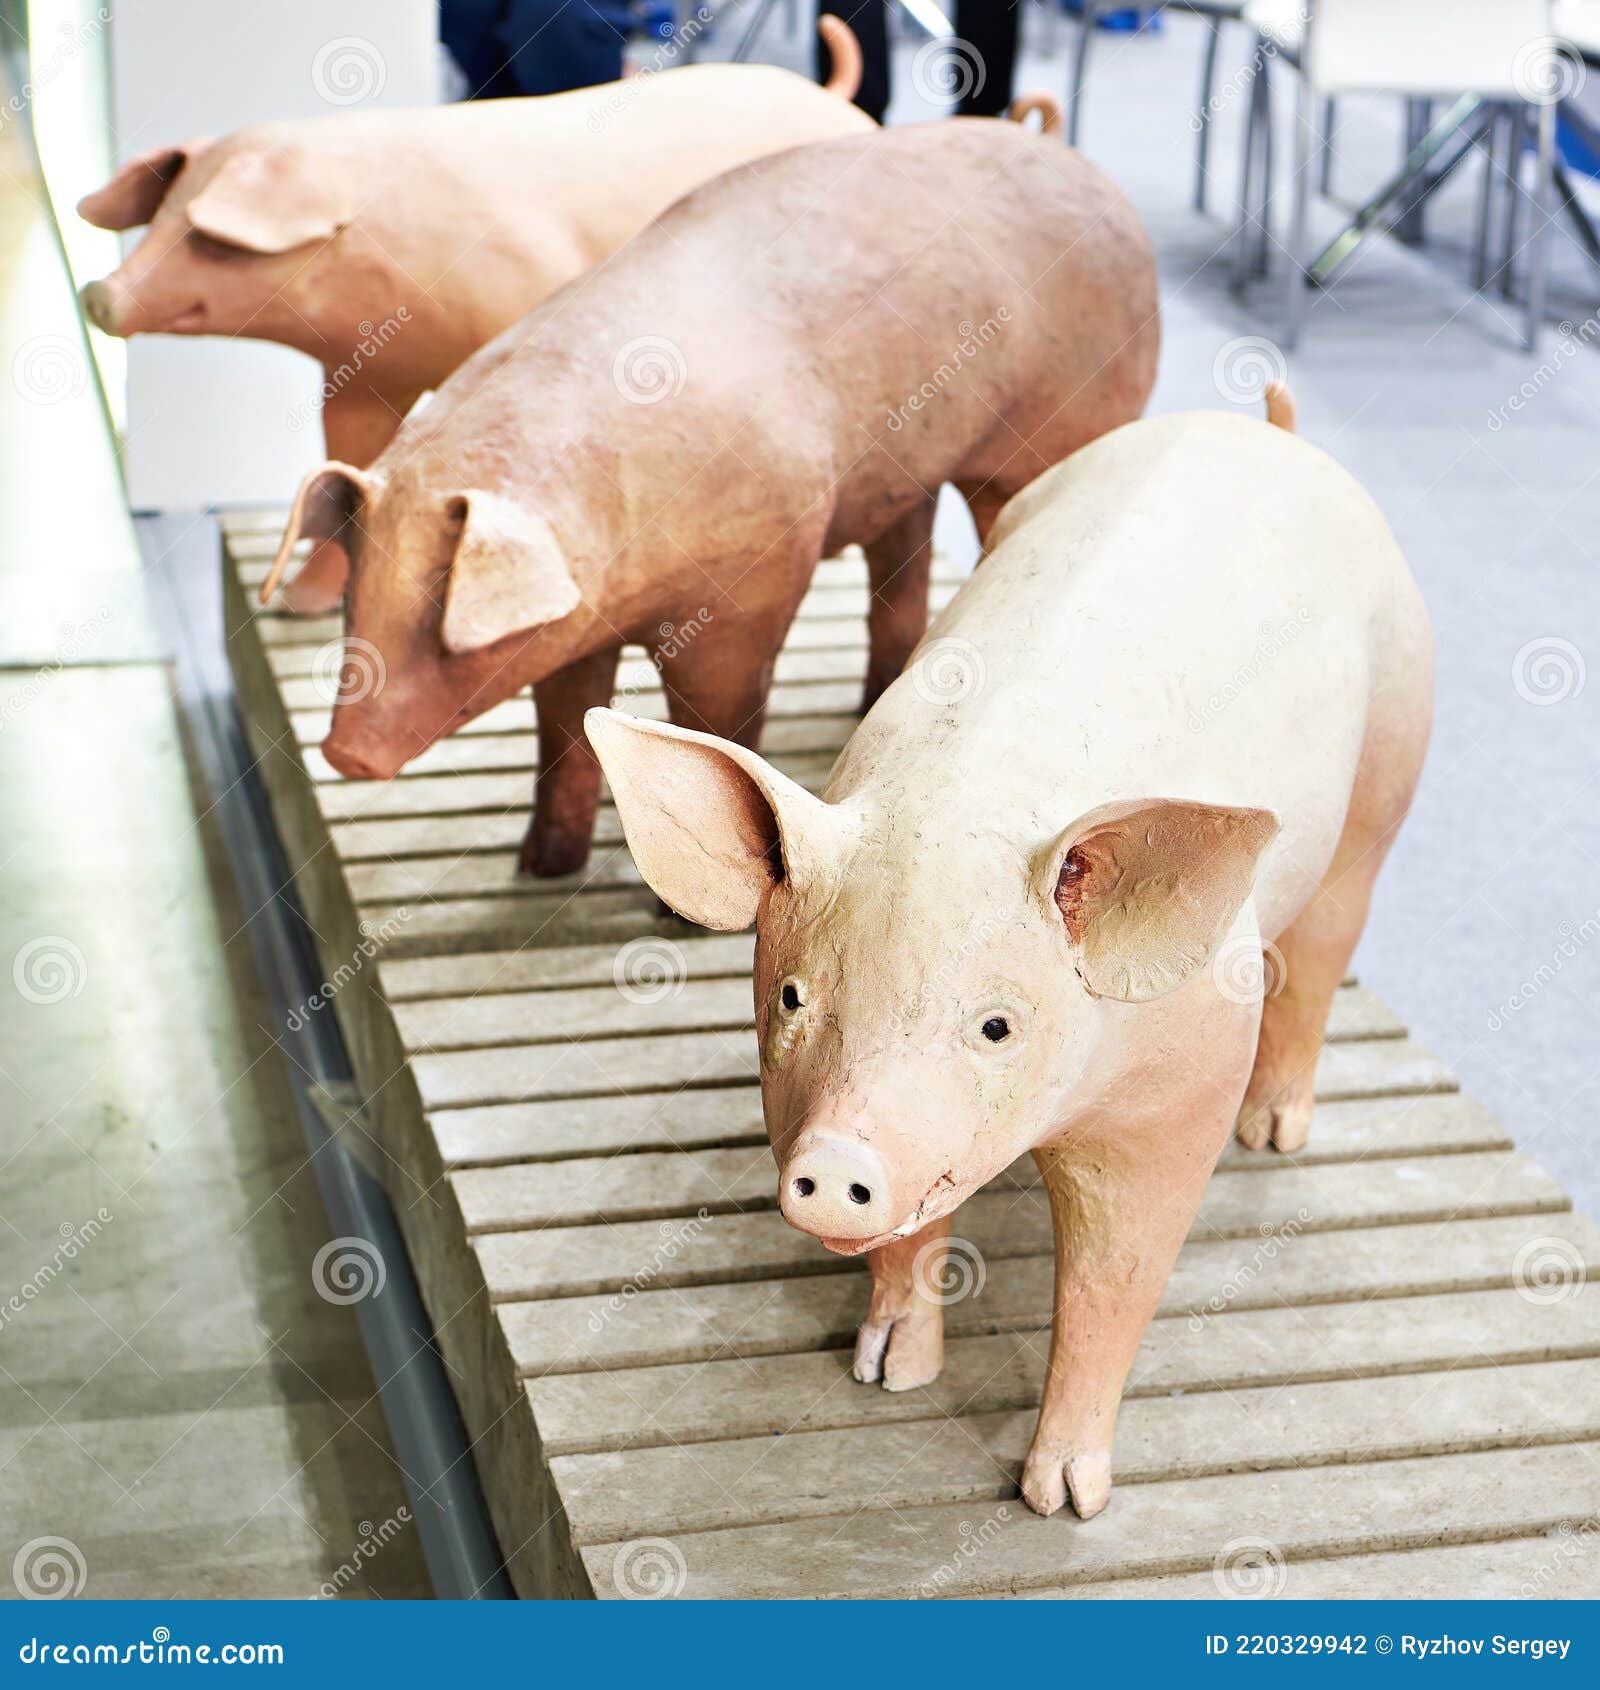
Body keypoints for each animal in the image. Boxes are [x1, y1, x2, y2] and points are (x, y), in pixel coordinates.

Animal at [75, 26, 870, 614]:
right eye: (165, 215)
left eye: (208, 238)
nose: (96, 291)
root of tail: (833, 97)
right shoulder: (361, 374)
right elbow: (350, 457)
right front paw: (303, 607)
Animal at [262, 118, 1159, 878]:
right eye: (358, 594)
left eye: (442, 607)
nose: (344, 754)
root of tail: (1095, 176)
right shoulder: (576, 630)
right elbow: (563, 727)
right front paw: (541, 869)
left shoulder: (754, 584)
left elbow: (719, 722)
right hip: (904, 475)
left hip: (1067, 424)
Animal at [585, 393, 1433, 1521]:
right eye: (793, 996)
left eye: (996, 1024)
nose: (834, 1163)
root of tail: (1265, 429)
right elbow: (911, 1232)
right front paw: (886, 1376)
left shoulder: (1183, 1086)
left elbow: (1116, 1279)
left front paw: (1062, 1500)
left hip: (1390, 762)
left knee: (1331, 944)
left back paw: (1276, 1134)